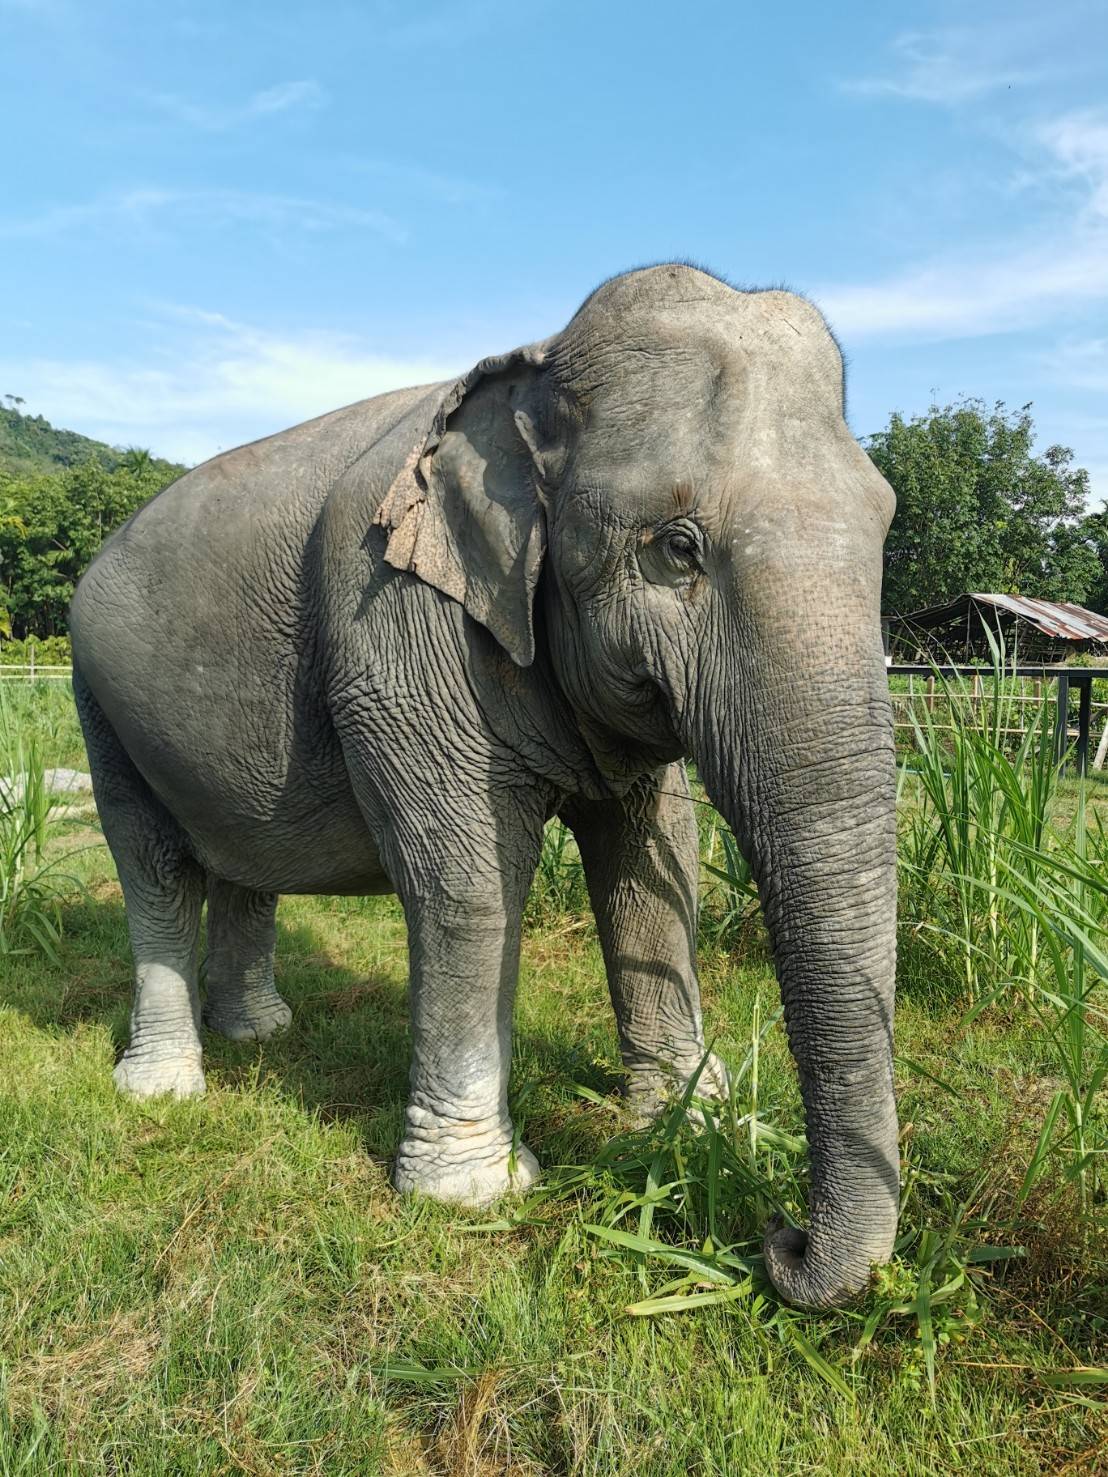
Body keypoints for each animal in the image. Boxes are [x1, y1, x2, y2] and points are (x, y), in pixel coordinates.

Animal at [69, 263, 899, 1309]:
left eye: (886, 523)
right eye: (676, 547)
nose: (781, 1239)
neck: (530, 366)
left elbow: (655, 866)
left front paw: (685, 1124)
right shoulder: (392, 623)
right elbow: (468, 882)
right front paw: (474, 1190)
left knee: (242, 863)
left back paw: (261, 1034)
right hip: (96, 696)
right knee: (153, 863)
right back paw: (166, 1086)